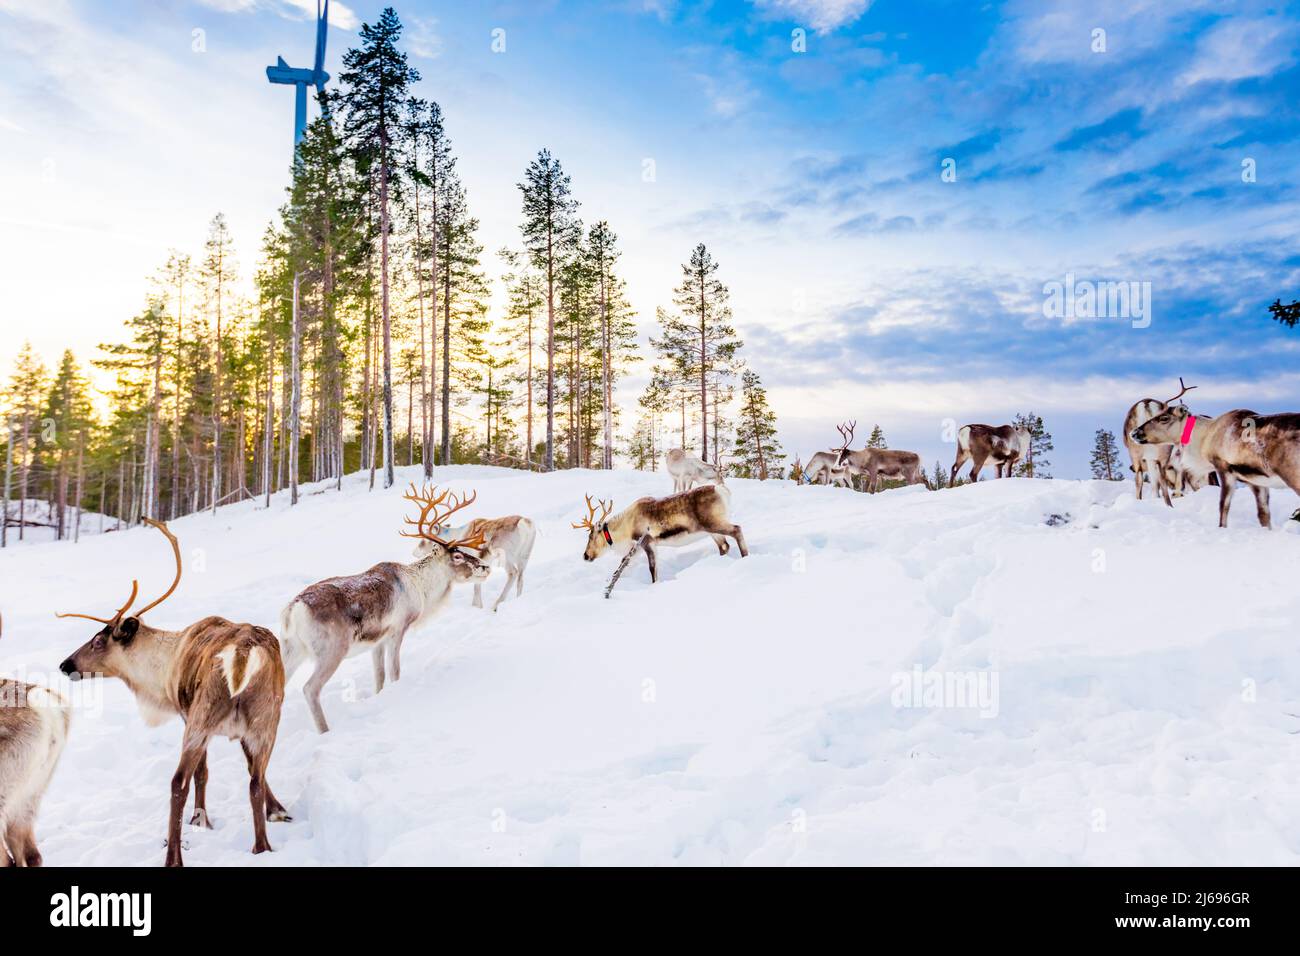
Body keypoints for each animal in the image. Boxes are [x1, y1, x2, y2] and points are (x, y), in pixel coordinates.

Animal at [56, 518, 288, 868]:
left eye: (98, 641)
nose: (65, 664)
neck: (161, 671)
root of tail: (245, 653)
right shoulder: (248, 732)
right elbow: (252, 769)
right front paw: (278, 811)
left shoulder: (186, 715)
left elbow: (201, 774)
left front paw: (201, 819)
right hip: (267, 719)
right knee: (254, 781)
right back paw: (262, 847)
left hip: (202, 719)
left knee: (178, 782)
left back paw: (173, 856)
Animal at [279, 485, 490, 734]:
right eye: (457, 556)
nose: (486, 567)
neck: (422, 587)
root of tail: (293, 611)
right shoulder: (398, 629)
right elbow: (394, 671)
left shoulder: (376, 641)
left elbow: (378, 676)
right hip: (331, 650)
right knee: (310, 688)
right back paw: (325, 731)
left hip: (291, 649)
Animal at [573, 486, 747, 584]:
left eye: (591, 536)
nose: (585, 556)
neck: (626, 527)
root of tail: (724, 491)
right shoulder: (637, 548)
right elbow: (622, 565)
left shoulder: (647, 541)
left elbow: (652, 568)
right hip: (710, 530)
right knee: (724, 546)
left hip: (714, 523)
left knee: (737, 529)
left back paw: (745, 558)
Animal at [1131, 405, 1300, 528]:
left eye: (1164, 418)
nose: (1134, 432)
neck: (1204, 437)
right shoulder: (1255, 480)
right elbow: (1264, 515)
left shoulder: (1223, 467)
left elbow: (1223, 507)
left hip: (1293, 475)